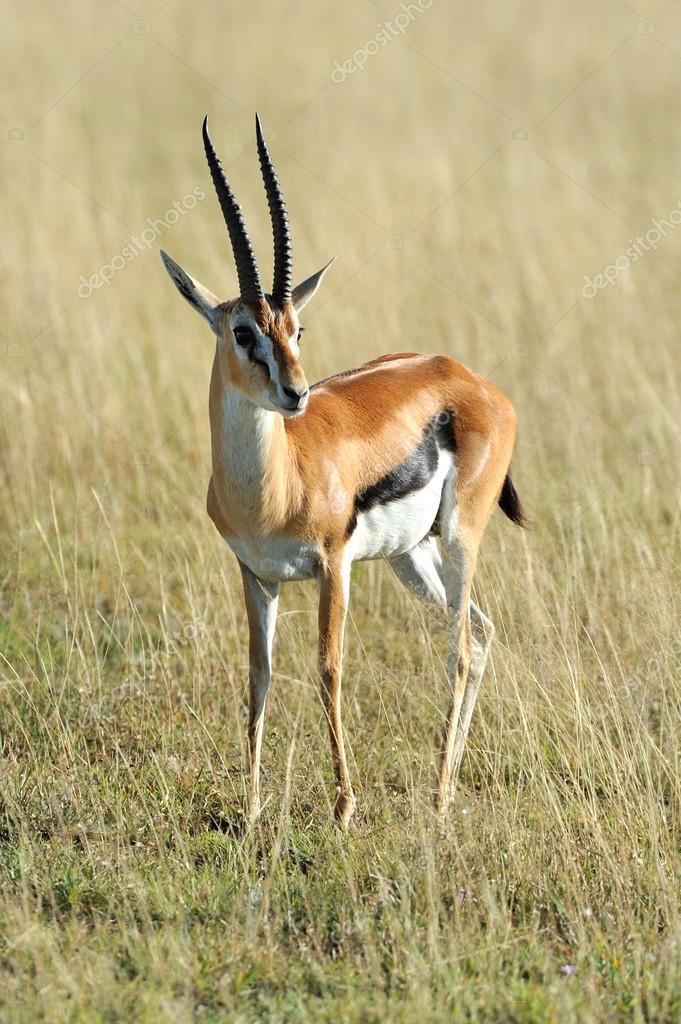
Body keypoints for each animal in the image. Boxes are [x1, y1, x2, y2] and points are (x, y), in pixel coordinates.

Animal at [160, 115, 526, 829]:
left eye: (298, 329)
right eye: (244, 332)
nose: (297, 394)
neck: (274, 484)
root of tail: (471, 380)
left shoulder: (333, 565)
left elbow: (328, 668)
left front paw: (344, 806)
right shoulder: (256, 574)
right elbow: (258, 675)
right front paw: (250, 807)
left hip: (459, 536)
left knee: (461, 648)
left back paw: (438, 797)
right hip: (413, 556)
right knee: (480, 631)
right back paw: (448, 783)